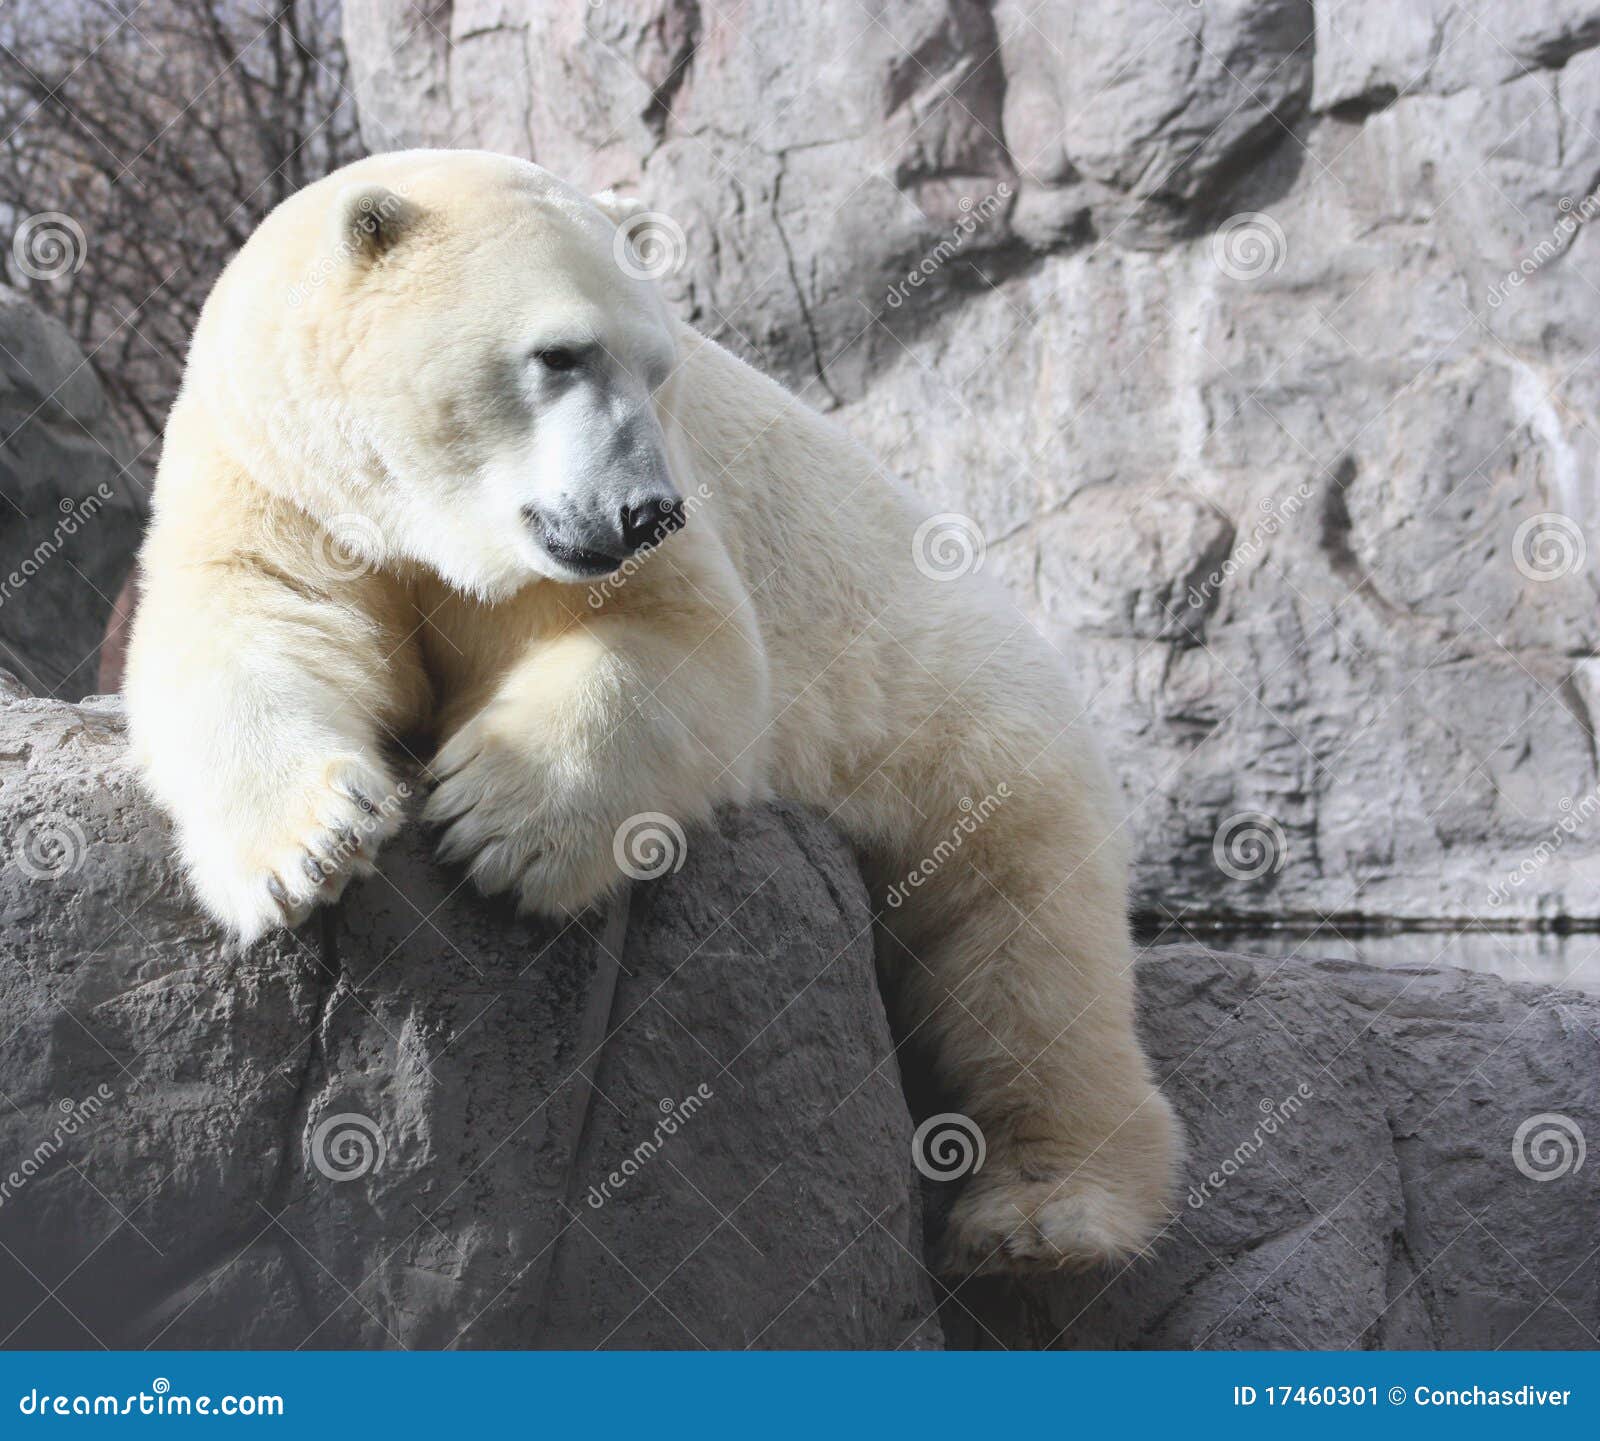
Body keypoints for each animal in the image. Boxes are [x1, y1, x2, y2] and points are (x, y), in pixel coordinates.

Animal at [124, 149, 1182, 1273]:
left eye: (659, 365)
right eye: (558, 353)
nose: (646, 511)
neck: (423, 517)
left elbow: (679, 638)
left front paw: (499, 823)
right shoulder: (277, 471)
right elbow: (244, 618)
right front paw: (309, 847)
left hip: (970, 717)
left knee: (1026, 951)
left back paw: (1046, 1215)